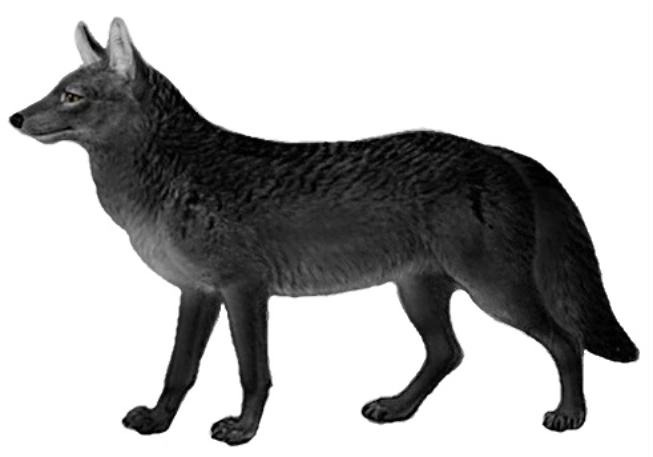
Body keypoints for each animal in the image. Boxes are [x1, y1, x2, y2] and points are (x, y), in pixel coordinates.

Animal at [10, 18, 638, 446]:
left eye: (71, 96)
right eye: (55, 88)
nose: (14, 117)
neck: (165, 178)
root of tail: (497, 151)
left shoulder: (244, 293)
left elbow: (253, 372)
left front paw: (243, 431)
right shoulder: (198, 294)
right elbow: (178, 371)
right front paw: (160, 422)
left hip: (496, 294)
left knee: (565, 340)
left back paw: (571, 417)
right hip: (418, 294)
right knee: (449, 353)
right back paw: (397, 410)